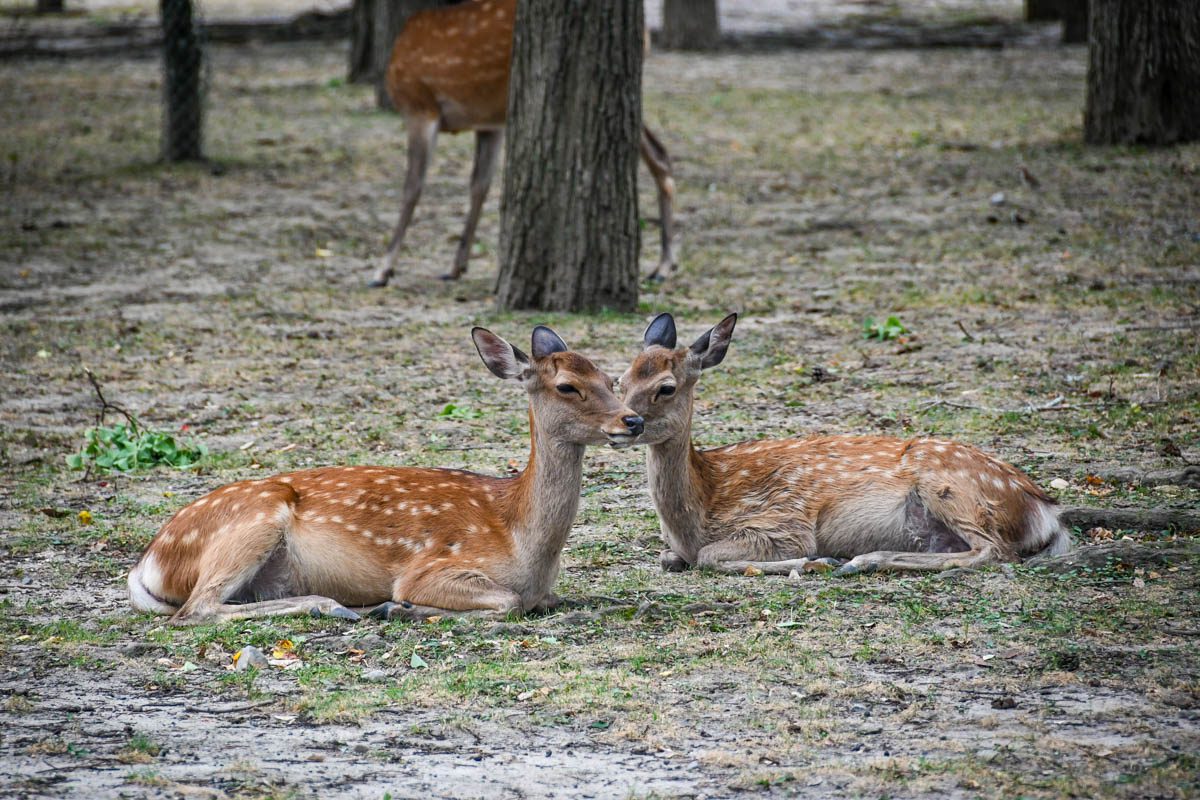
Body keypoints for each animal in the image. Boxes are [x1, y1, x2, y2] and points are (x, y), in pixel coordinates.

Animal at [126, 325, 645, 625]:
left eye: (611, 380)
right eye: (567, 386)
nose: (632, 421)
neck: (523, 541)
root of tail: (147, 562)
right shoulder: (432, 565)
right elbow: (507, 602)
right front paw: (402, 606)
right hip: (251, 522)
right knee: (194, 610)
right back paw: (338, 606)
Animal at [367, 0, 677, 288]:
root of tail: (645, 35)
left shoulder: (419, 106)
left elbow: (412, 188)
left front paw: (383, 269)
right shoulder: (488, 122)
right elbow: (479, 185)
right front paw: (456, 267)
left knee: (658, 155)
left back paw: (664, 264)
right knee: (661, 154)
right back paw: (663, 266)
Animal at [616, 312, 1072, 577]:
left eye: (666, 387)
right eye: (620, 380)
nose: (628, 423)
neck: (699, 511)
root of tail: (1045, 509)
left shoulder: (782, 522)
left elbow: (711, 557)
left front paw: (815, 561)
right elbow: (668, 558)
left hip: (950, 484)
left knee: (994, 551)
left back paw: (861, 561)